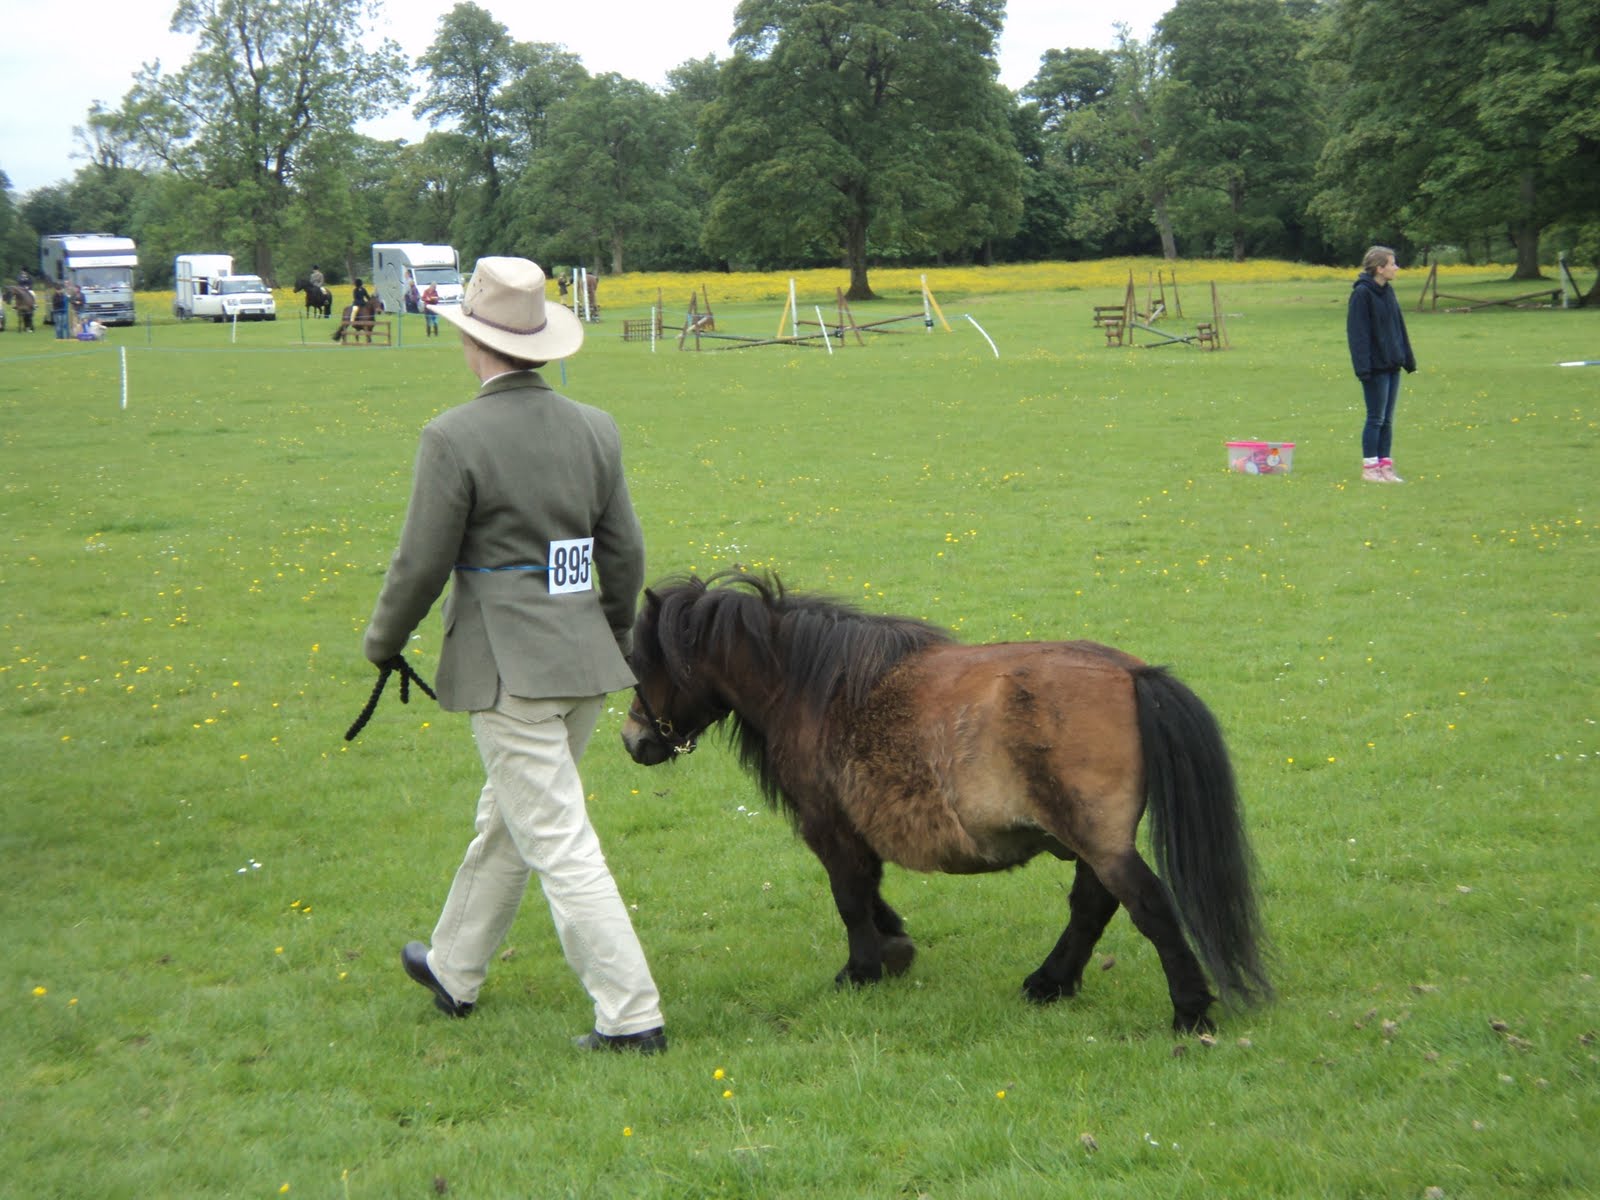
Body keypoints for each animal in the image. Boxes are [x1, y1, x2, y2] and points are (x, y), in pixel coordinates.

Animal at [621, 571, 1272, 1034]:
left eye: (640, 663)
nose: (634, 741)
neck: (811, 687)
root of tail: (1134, 674)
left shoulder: (829, 827)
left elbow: (850, 899)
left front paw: (862, 970)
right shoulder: (856, 830)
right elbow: (870, 894)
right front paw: (893, 947)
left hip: (1098, 839)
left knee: (1147, 906)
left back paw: (1188, 1011)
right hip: (1092, 841)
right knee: (1092, 905)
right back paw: (1051, 982)